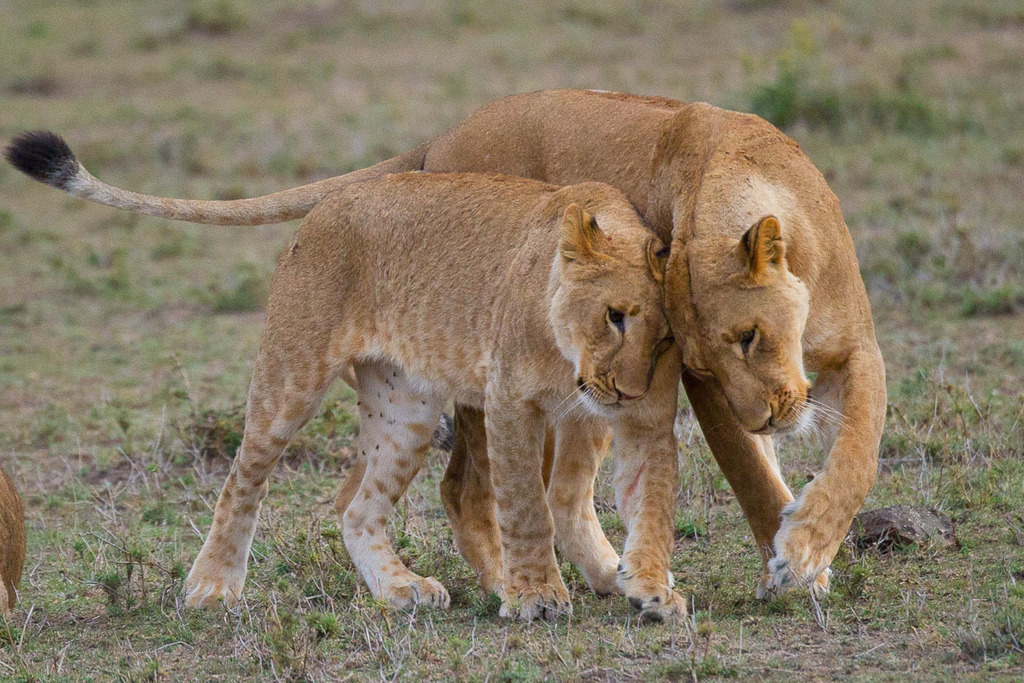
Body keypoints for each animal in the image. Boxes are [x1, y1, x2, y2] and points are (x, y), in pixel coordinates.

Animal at [6, 88, 886, 604]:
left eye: (750, 335)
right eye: (711, 357)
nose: (771, 416)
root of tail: (437, 136)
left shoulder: (858, 350)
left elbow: (857, 451)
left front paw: (802, 544)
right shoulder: (681, 393)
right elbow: (754, 478)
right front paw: (796, 557)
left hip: (446, 400)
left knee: (432, 496)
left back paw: (565, 578)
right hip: (361, 377)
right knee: (441, 488)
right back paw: (220, 587)